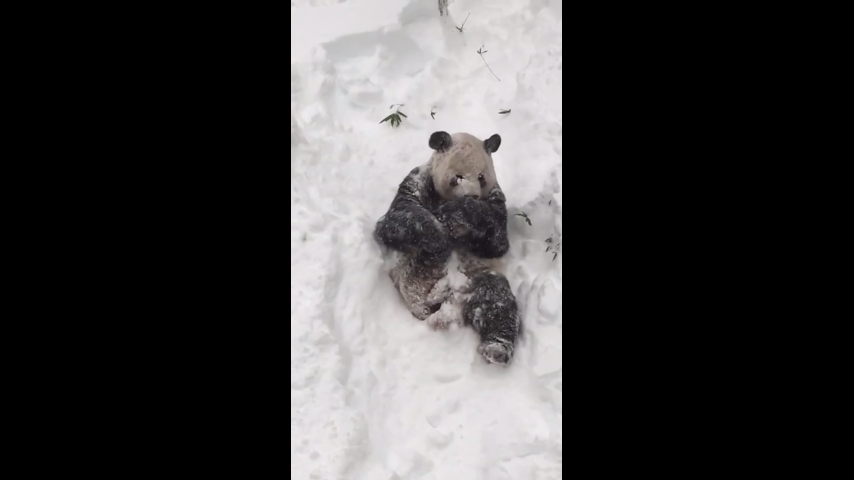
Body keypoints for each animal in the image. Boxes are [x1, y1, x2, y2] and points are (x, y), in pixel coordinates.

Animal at [374, 131, 520, 365]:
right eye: (457, 177)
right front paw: (440, 232)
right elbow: (395, 220)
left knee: (497, 299)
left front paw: (458, 212)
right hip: (408, 280)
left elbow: (497, 241)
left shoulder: (495, 197)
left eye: (482, 177)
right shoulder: (417, 181)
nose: (472, 195)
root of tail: (452, 303)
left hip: (477, 277)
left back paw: (496, 348)